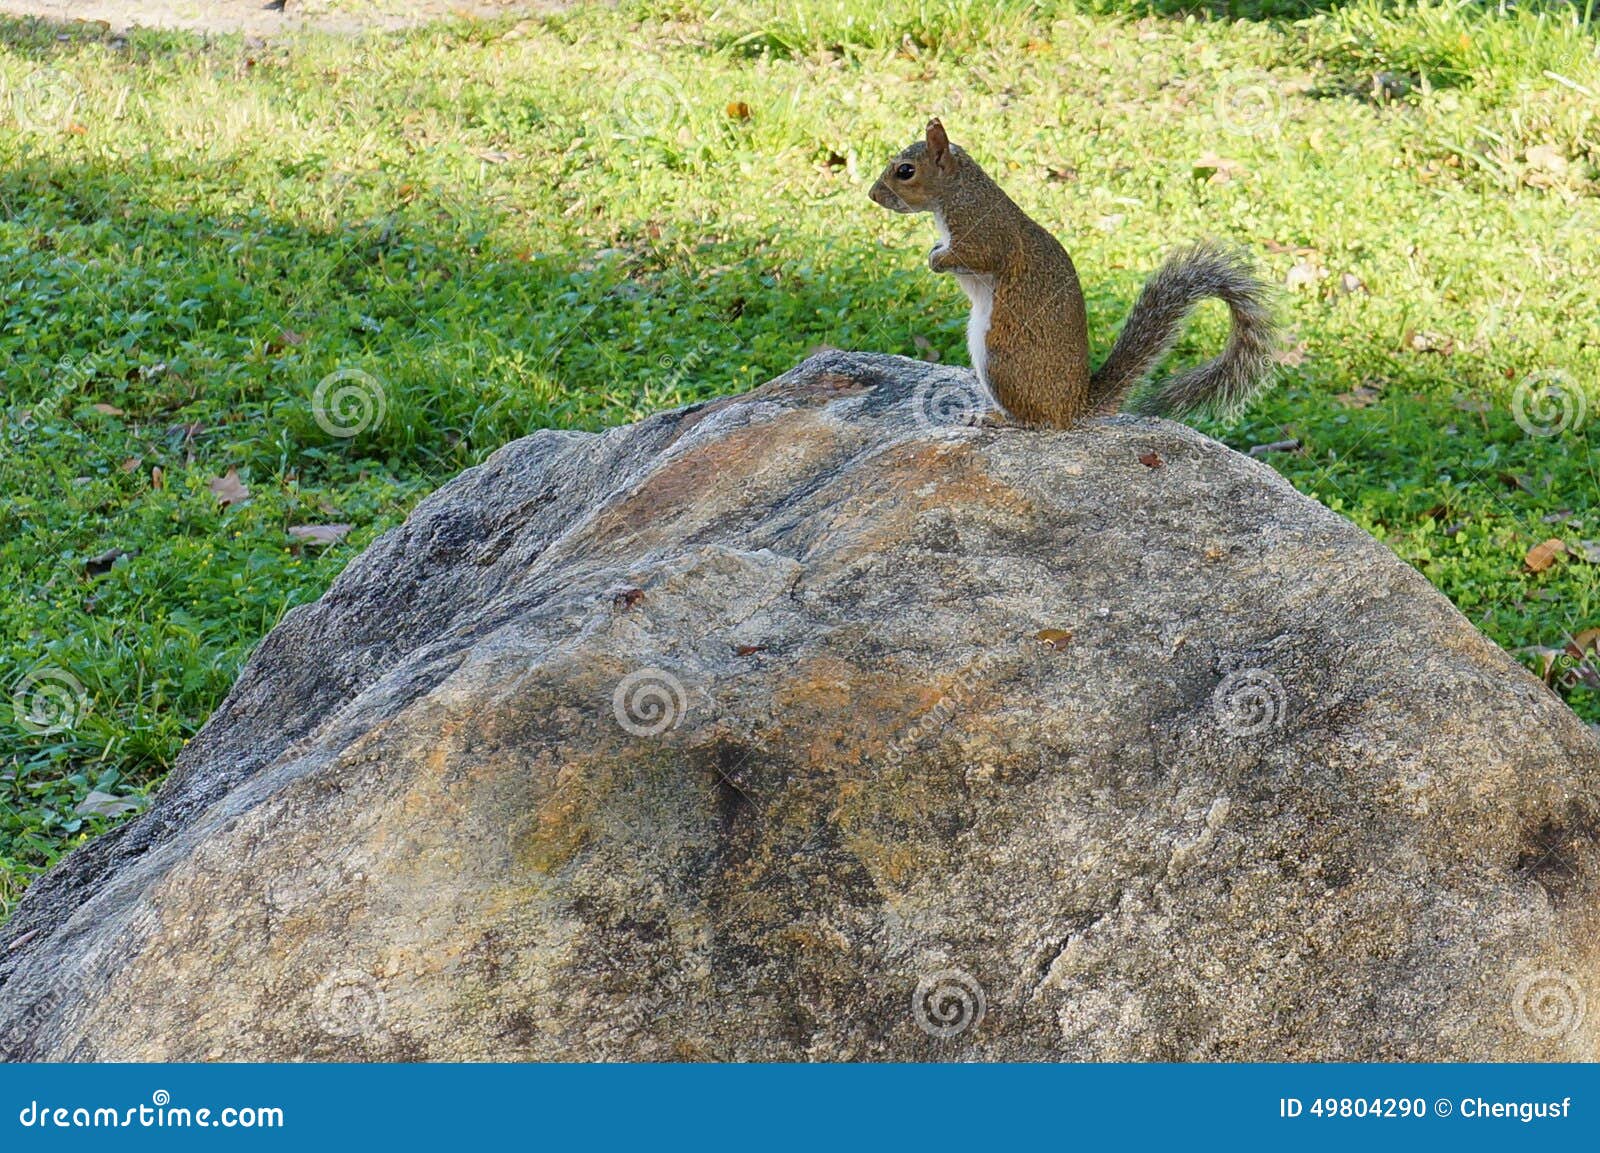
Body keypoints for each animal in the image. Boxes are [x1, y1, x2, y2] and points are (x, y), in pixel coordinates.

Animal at [869, 119, 1278, 429]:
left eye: (905, 171)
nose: (873, 195)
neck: (957, 192)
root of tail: (1074, 408)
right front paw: (934, 252)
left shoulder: (984, 233)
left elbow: (978, 255)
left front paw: (937, 261)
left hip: (1000, 360)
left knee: (1037, 421)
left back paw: (996, 418)